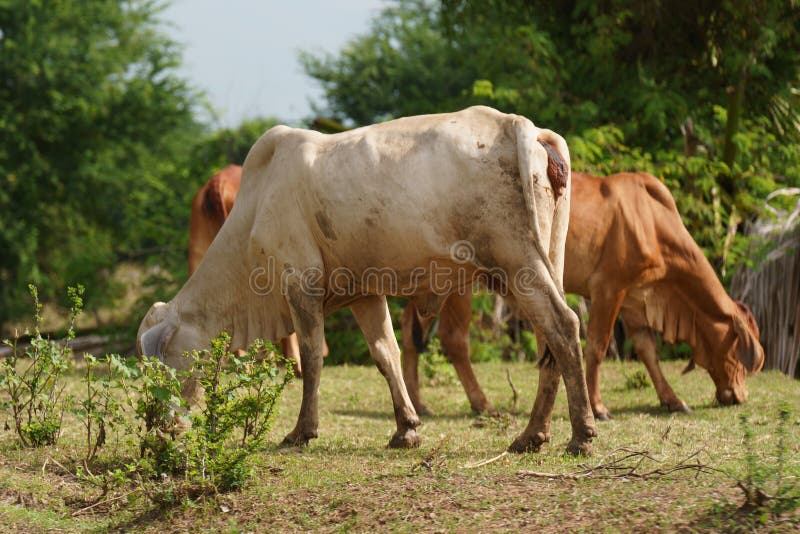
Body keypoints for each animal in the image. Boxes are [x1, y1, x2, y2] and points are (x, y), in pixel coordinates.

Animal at [402, 171, 765, 419]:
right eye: (739, 354)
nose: (740, 396)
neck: (652, 221)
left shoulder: (634, 298)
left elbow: (648, 351)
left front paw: (672, 399)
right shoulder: (607, 288)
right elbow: (598, 347)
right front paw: (598, 406)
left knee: (409, 331)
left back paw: (419, 403)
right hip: (458, 287)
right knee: (454, 339)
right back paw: (482, 403)